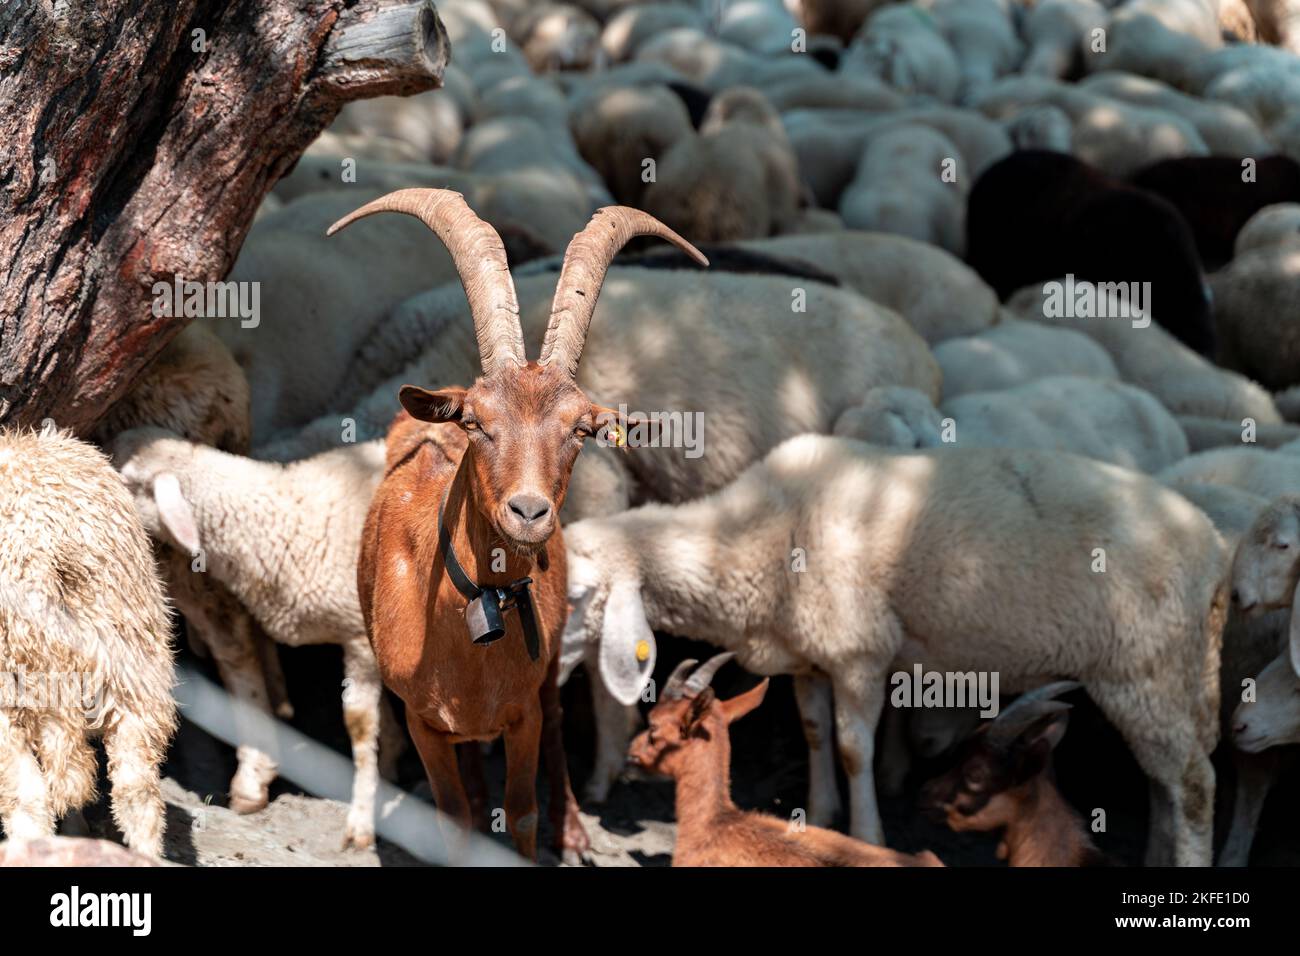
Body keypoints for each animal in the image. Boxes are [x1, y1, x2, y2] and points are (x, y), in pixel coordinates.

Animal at [344, 188, 707, 861]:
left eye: (581, 428)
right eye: (475, 422)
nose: (531, 512)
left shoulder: (523, 715)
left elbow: (522, 813)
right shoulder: (421, 719)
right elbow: (455, 817)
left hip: (554, 650)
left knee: (560, 726)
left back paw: (577, 832)